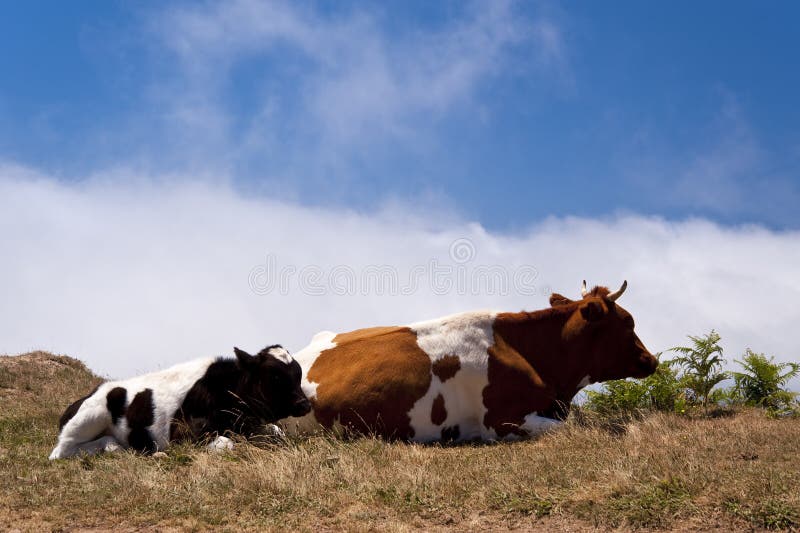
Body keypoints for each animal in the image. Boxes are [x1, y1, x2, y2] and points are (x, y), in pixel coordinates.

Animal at [49, 345, 311, 459]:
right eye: (275, 376)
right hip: (91, 415)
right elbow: (227, 444)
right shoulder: (183, 435)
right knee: (61, 451)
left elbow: (276, 431)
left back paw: (117, 448)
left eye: (298, 373)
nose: (305, 404)